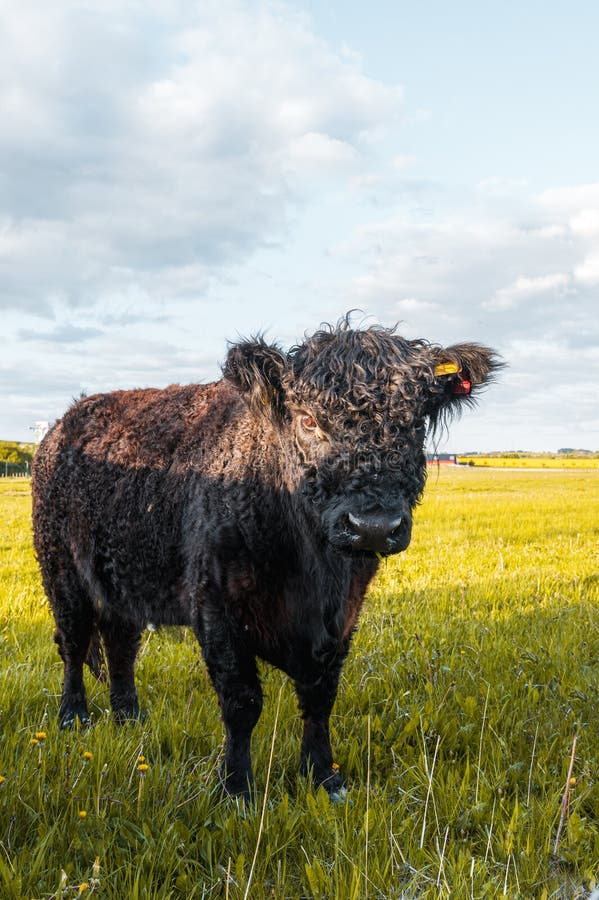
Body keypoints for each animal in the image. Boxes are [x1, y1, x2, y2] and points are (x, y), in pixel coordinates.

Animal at [32, 319, 501, 800]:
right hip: (60, 568)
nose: (373, 525)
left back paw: (129, 717)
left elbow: (320, 697)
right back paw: (73, 717)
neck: (313, 570)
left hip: (122, 581)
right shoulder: (216, 607)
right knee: (73, 642)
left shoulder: (342, 618)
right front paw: (237, 787)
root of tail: (66, 421)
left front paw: (324, 776)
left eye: (415, 421)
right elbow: (242, 701)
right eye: (308, 419)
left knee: (120, 645)